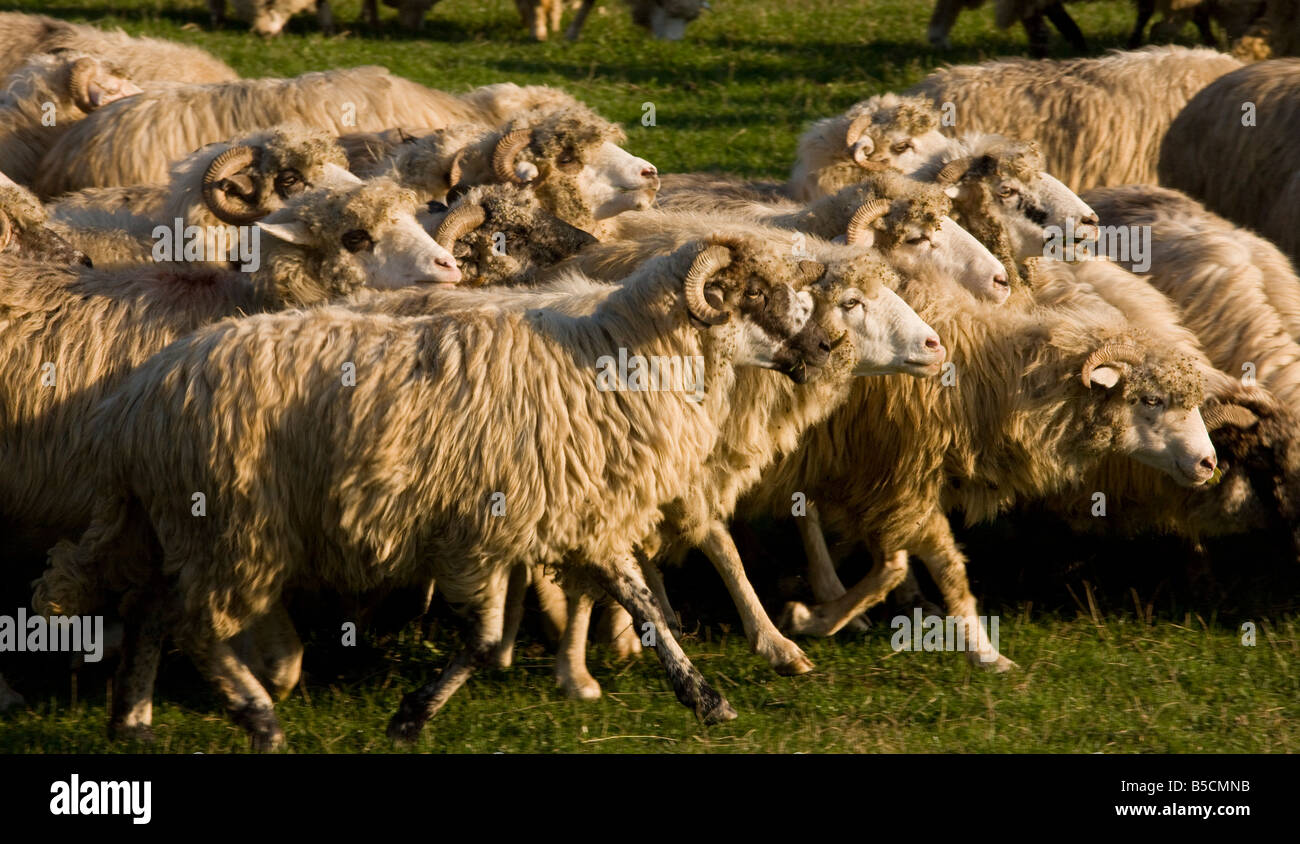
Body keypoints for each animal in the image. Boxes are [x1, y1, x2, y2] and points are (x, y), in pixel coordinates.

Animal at [35, 235, 842, 748]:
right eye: (756, 293)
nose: (821, 349)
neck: (615, 360)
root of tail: (134, 404)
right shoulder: (482, 533)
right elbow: (484, 643)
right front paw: (411, 718)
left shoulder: (582, 517)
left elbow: (643, 605)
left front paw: (706, 698)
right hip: (234, 529)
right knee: (196, 624)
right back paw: (259, 718)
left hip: (178, 525)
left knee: (148, 608)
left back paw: (133, 722)